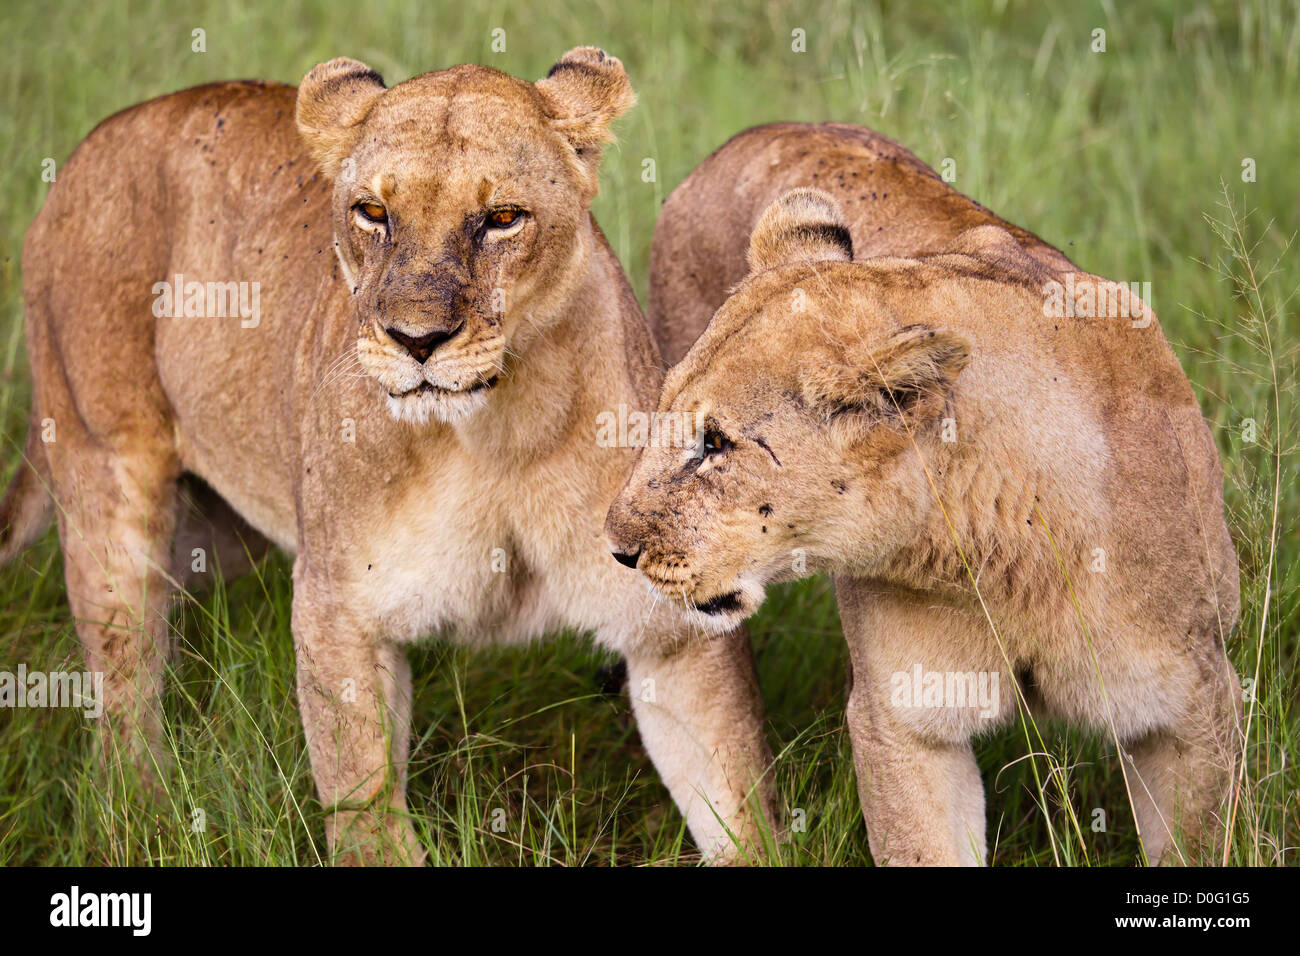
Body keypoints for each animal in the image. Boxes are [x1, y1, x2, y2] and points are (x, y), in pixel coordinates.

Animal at [0, 48, 775, 864]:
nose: (416, 340)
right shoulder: (339, 606)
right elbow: (363, 806)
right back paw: (144, 816)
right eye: (372, 212)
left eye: (502, 219)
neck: (497, 436)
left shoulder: (674, 632)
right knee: (123, 694)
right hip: (106, 479)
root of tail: (93, 143)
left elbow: (740, 807)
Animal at [606, 184, 1242, 866]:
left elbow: (1202, 841)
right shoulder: (903, 723)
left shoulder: (1195, 704)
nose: (616, 550)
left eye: (715, 443)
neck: (1017, 558)